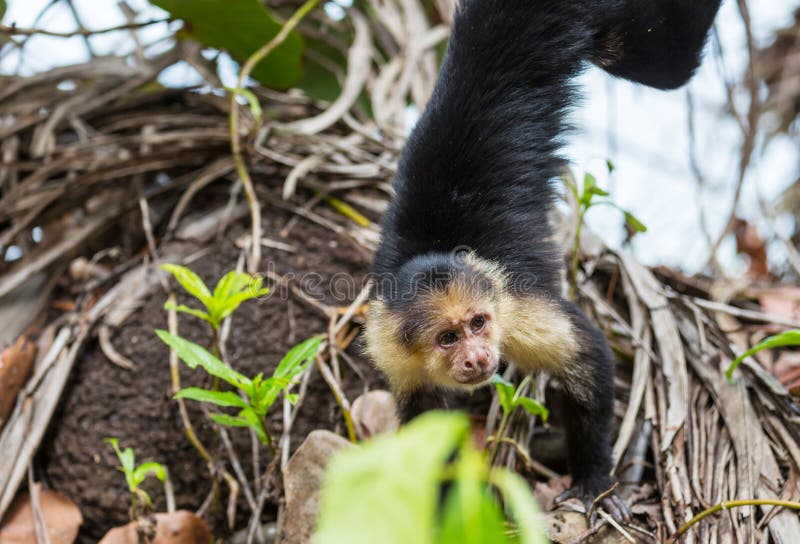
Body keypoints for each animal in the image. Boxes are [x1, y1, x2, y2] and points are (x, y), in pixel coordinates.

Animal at [364, 0, 721, 522]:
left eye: (478, 323)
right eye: (448, 337)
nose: (478, 357)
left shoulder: (515, 308)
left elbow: (588, 356)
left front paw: (592, 479)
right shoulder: (397, 357)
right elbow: (429, 429)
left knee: (665, 64)